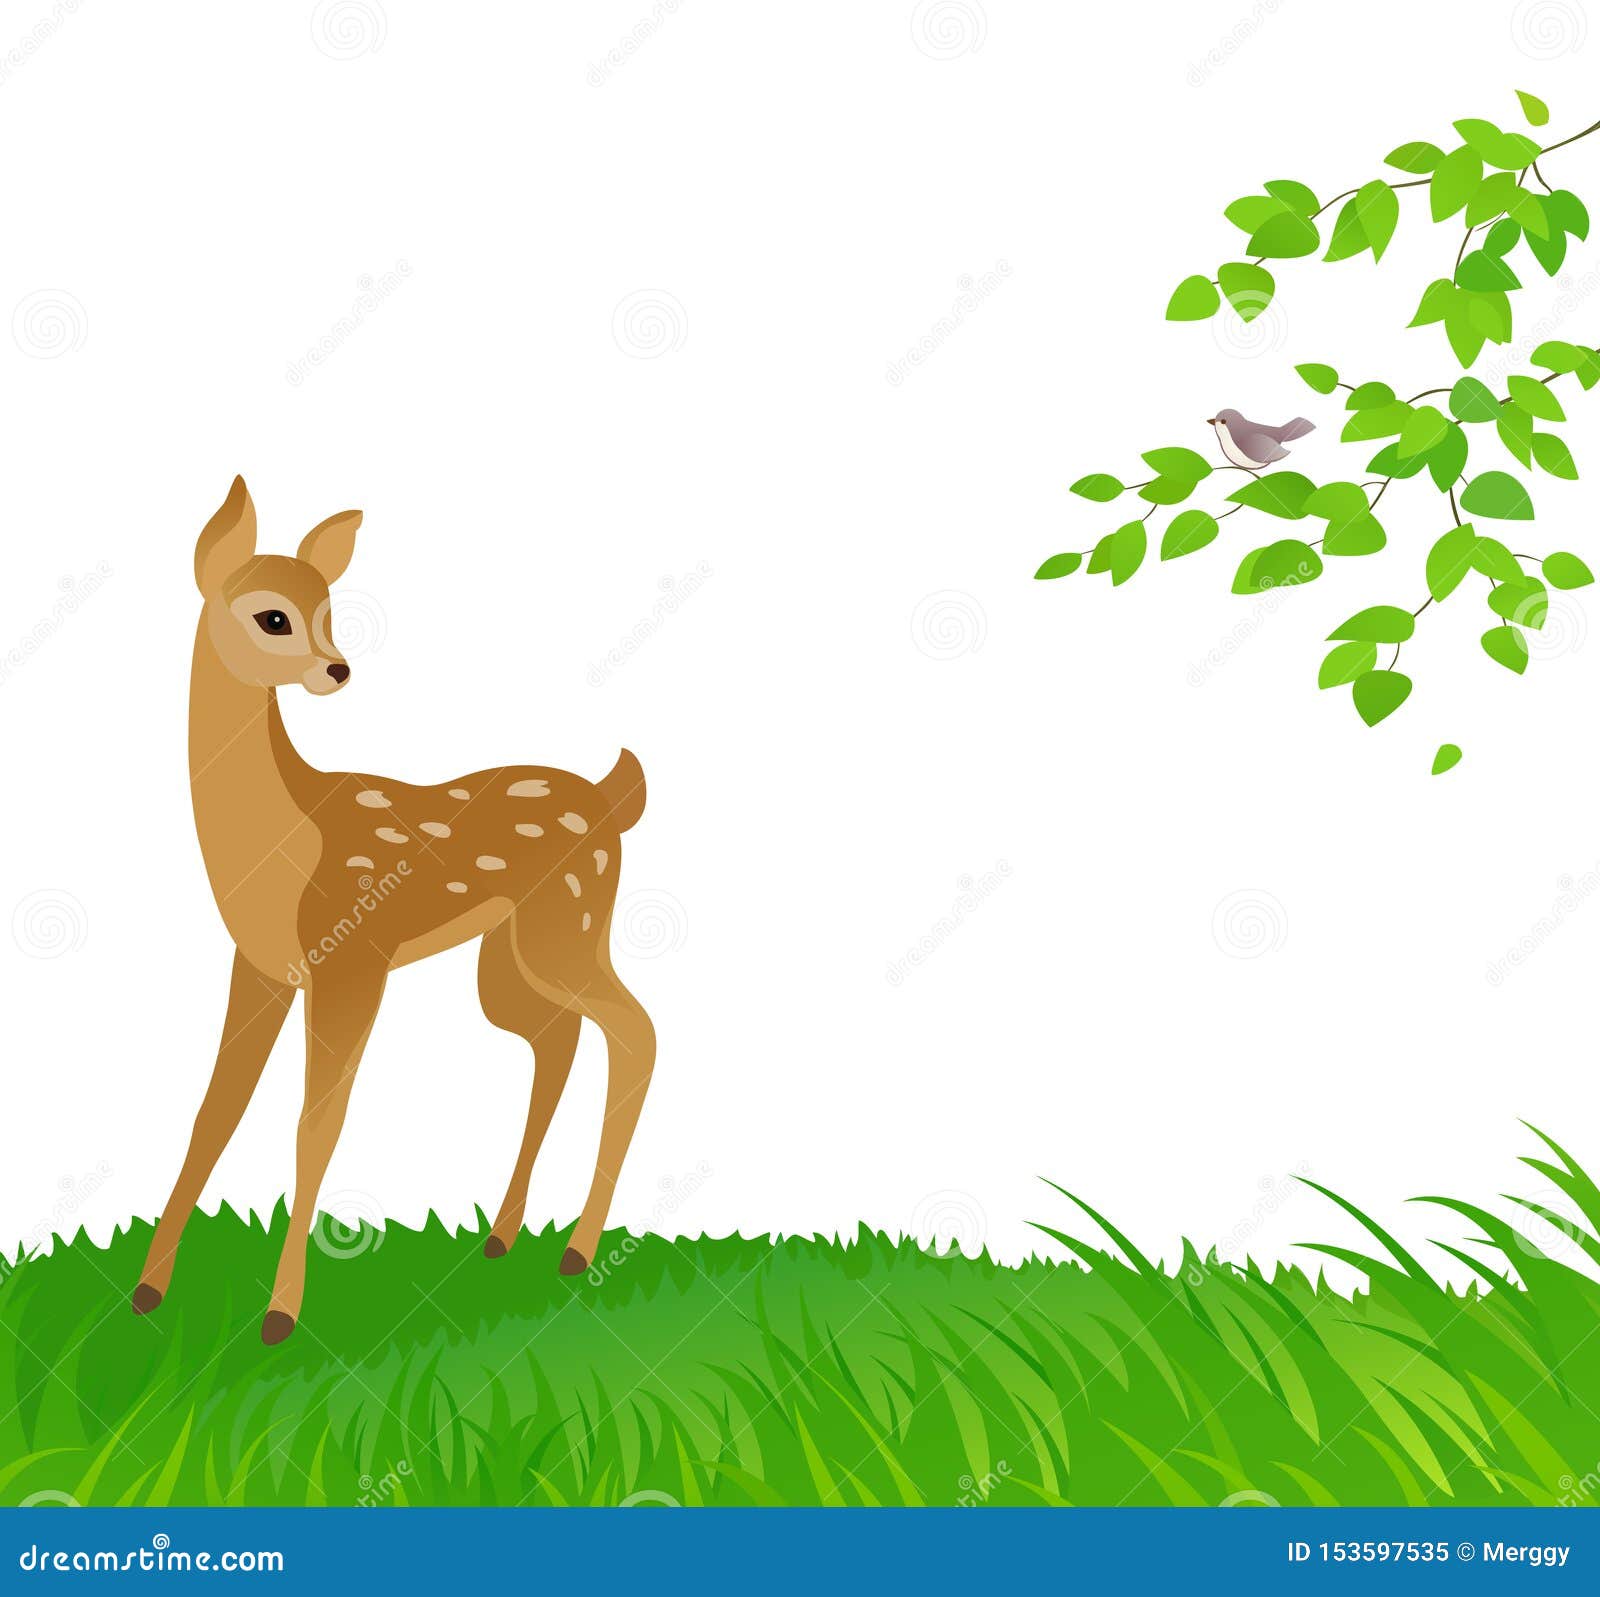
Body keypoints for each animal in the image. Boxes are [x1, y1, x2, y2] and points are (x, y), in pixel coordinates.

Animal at [132, 477, 655, 1344]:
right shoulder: (259, 964)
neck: (280, 845)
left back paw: (576, 1251)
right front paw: (148, 1293)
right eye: (273, 615)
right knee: (558, 1041)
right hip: (509, 956)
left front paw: (280, 1314)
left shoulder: (352, 955)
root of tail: (618, 801)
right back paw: (505, 1238)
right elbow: (214, 1110)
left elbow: (317, 1123)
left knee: (635, 1031)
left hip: (571, 924)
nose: (338, 668)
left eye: (330, 609)